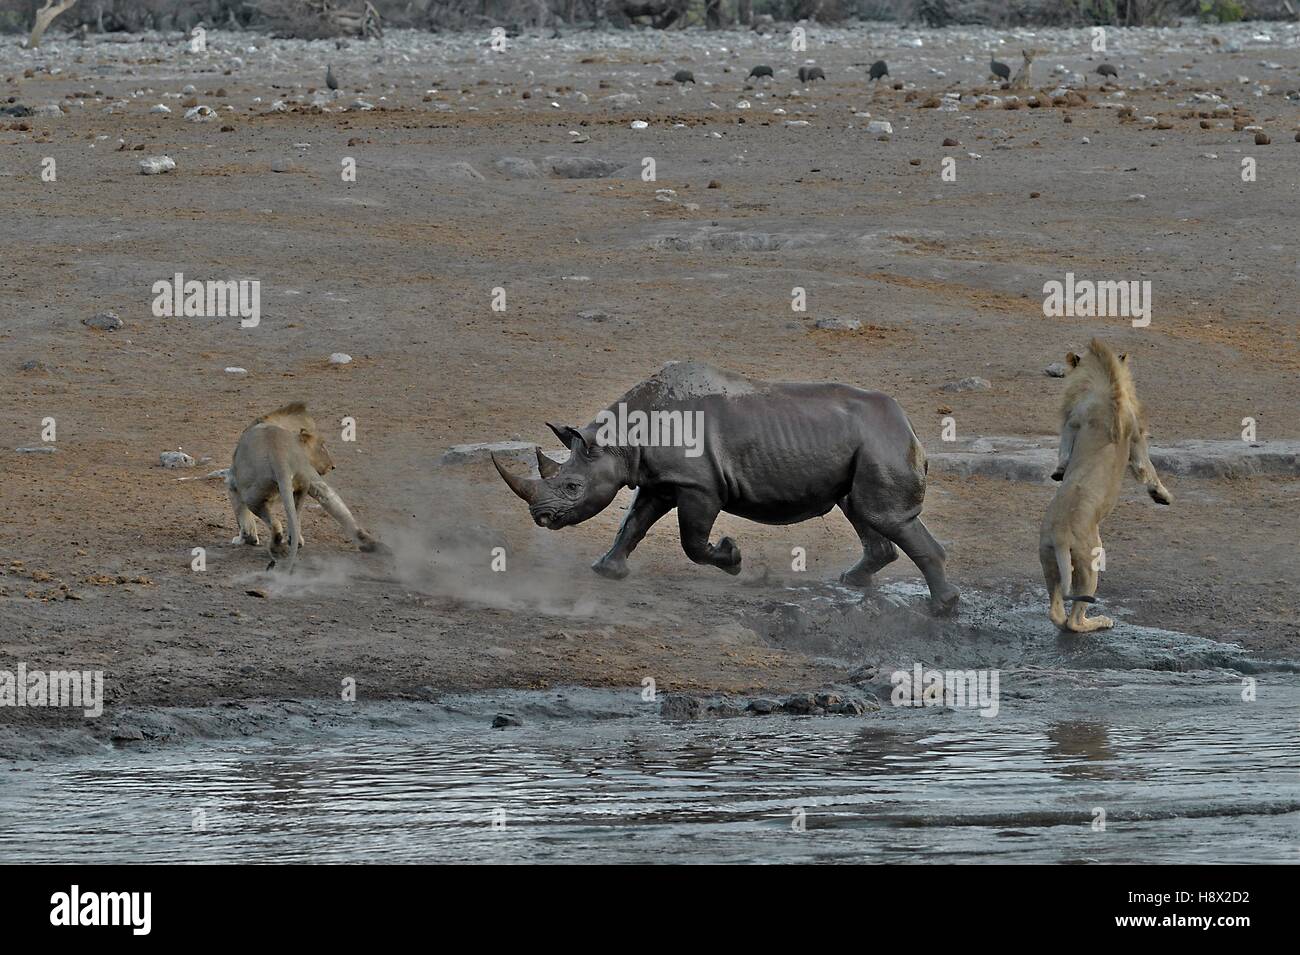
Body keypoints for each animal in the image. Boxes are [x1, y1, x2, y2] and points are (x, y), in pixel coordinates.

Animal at [492, 362, 959, 614]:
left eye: (572, 486)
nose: (541, 517)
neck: (621, 439)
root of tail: (907, 423)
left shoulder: (699, 485)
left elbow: (691, 541)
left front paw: (732, 559)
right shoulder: (662, 481)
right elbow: (633, 523)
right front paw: (607, 570)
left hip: (880, 441)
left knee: (882, 514)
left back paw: (942, 608)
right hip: (864, 444)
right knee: (858, 508)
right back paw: (852, 581)